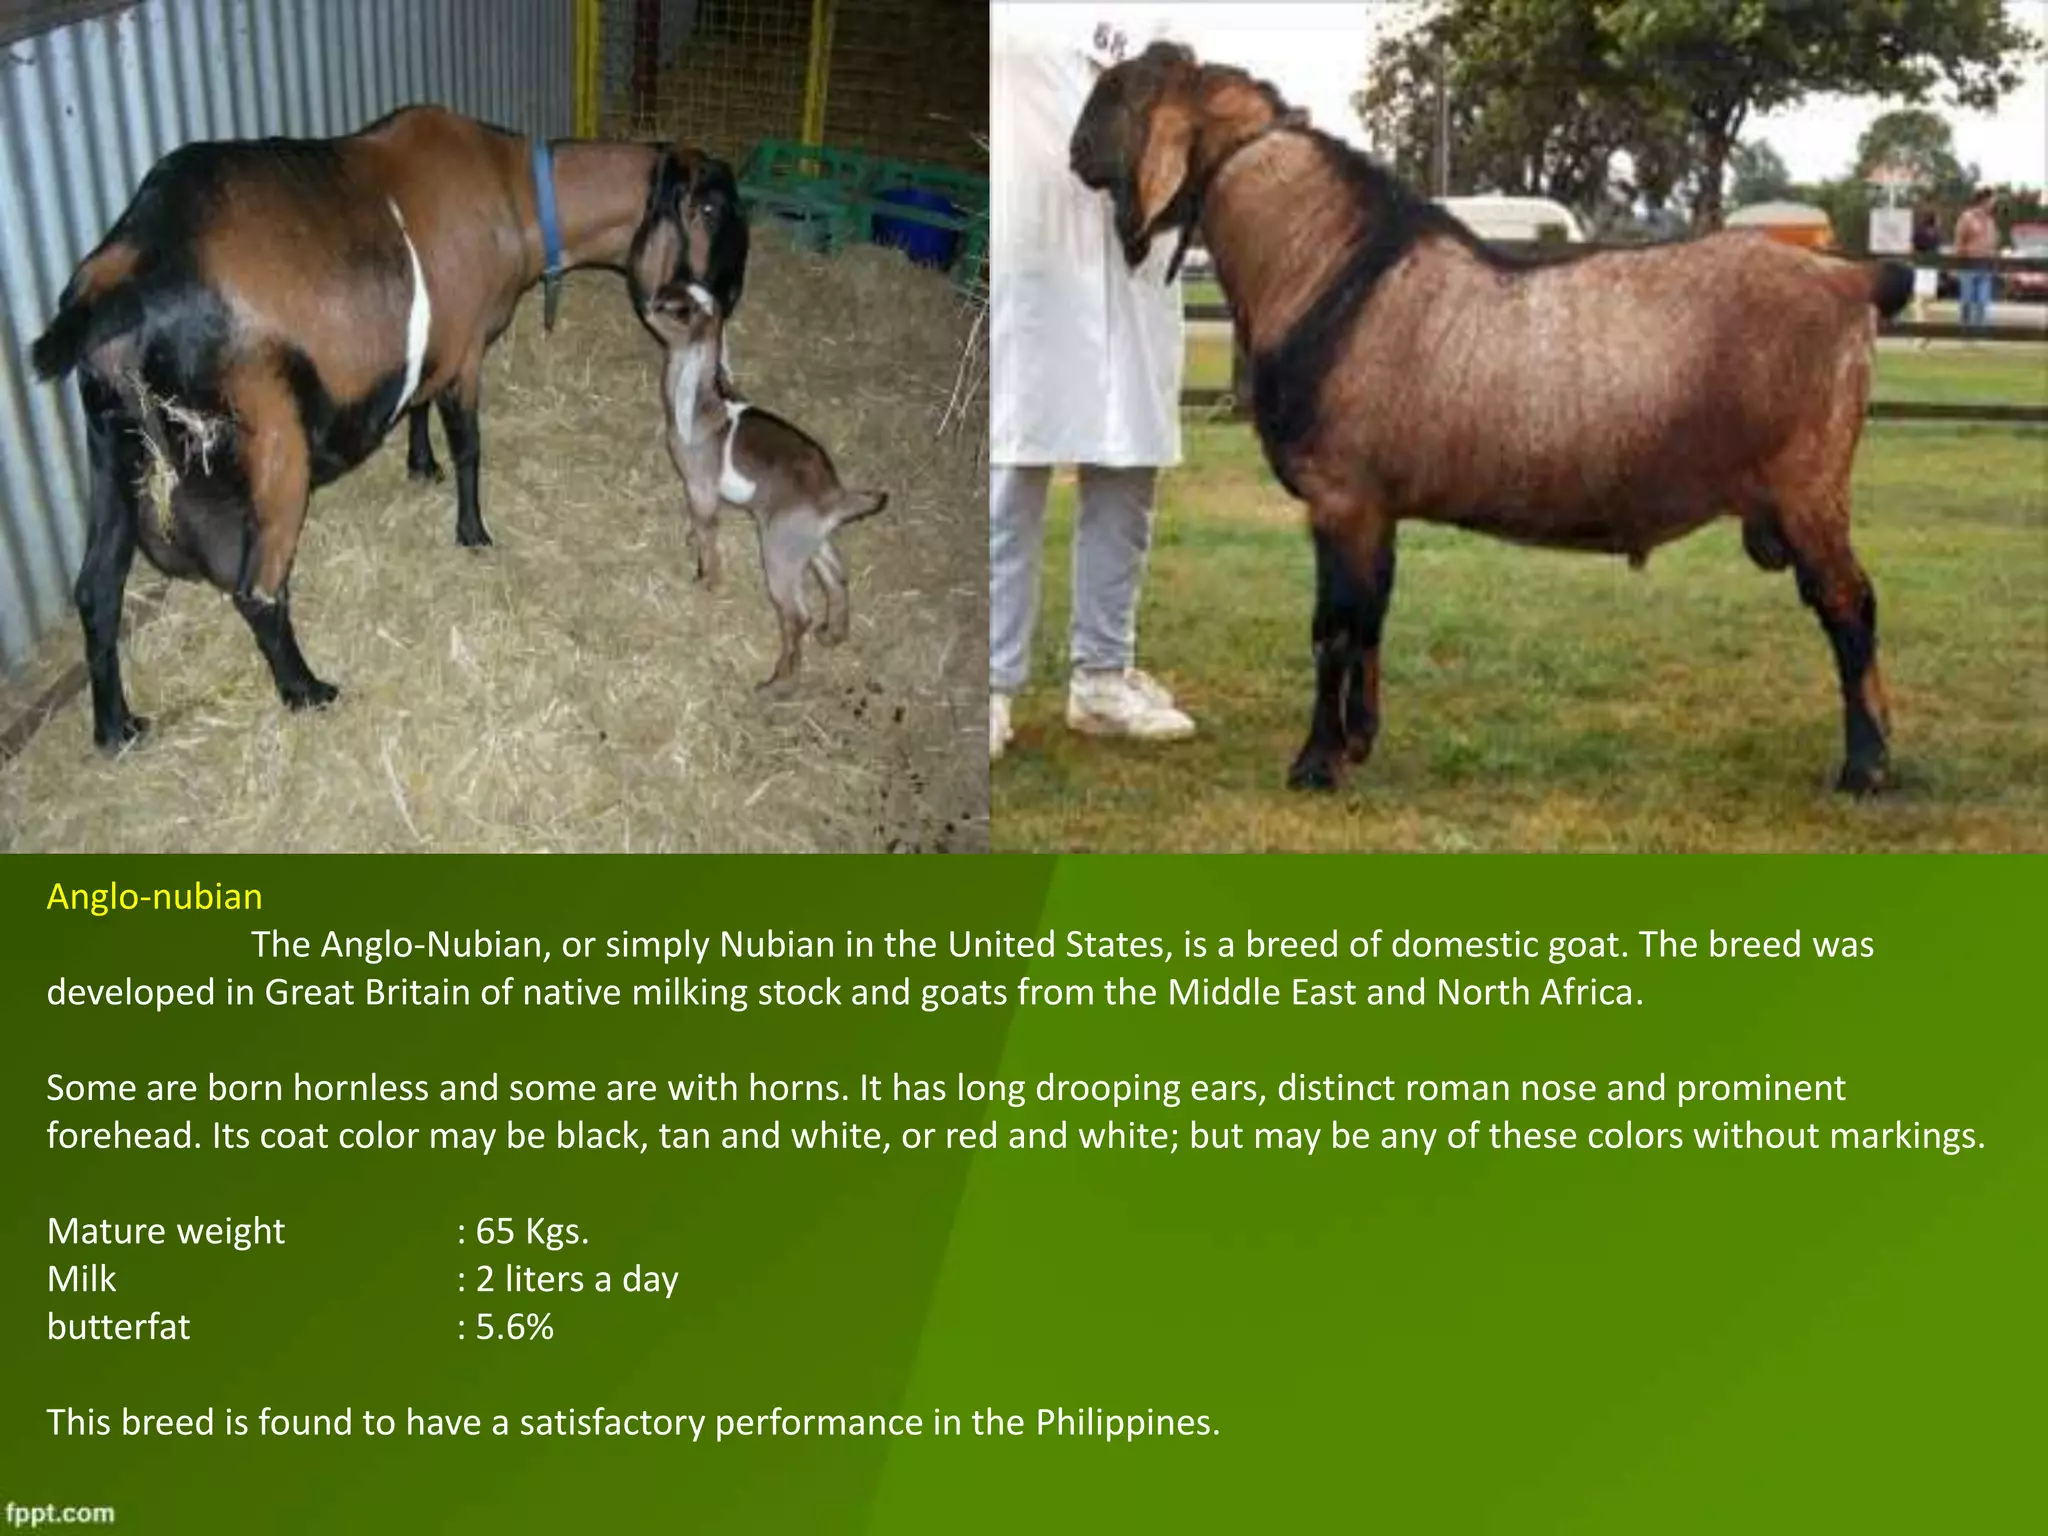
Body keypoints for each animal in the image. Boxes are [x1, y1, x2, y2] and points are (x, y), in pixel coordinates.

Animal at [29, 105, 747, 753]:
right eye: (712, 212)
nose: (730, 298)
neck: (514, 190)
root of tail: (119, 269)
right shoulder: (467, 353)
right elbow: (470, 447)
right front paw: (474, 533)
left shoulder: (432, 348)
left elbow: (418, 409)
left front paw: (420, 467)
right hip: (273, 451)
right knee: (258, 590)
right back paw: (308, 692)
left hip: (113, 448)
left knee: (96, 590)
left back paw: (117, 730)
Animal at [639, 280, 888, 694]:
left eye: (673, 309)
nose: (645, 303)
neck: (702, 407)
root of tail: (835, 496)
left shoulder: (700, 484)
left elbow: (707, 528)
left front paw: (708, 580)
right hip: (808, 541)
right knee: (837, 577)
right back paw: (831, 636)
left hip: (780, 550)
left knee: (796, 615)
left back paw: (776, 682)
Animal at [1071, 44, 1915, 795]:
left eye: (1121, 90)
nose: (1075, 148)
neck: (1332, 270)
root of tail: (1852, 279)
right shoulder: (1375, 506)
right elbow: (1372, 616)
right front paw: (1360, 741)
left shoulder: (1341, 496)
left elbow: (1333, 629)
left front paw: (1314, 765)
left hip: (1809, 485)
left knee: (1850, 606)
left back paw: (1865, 767)